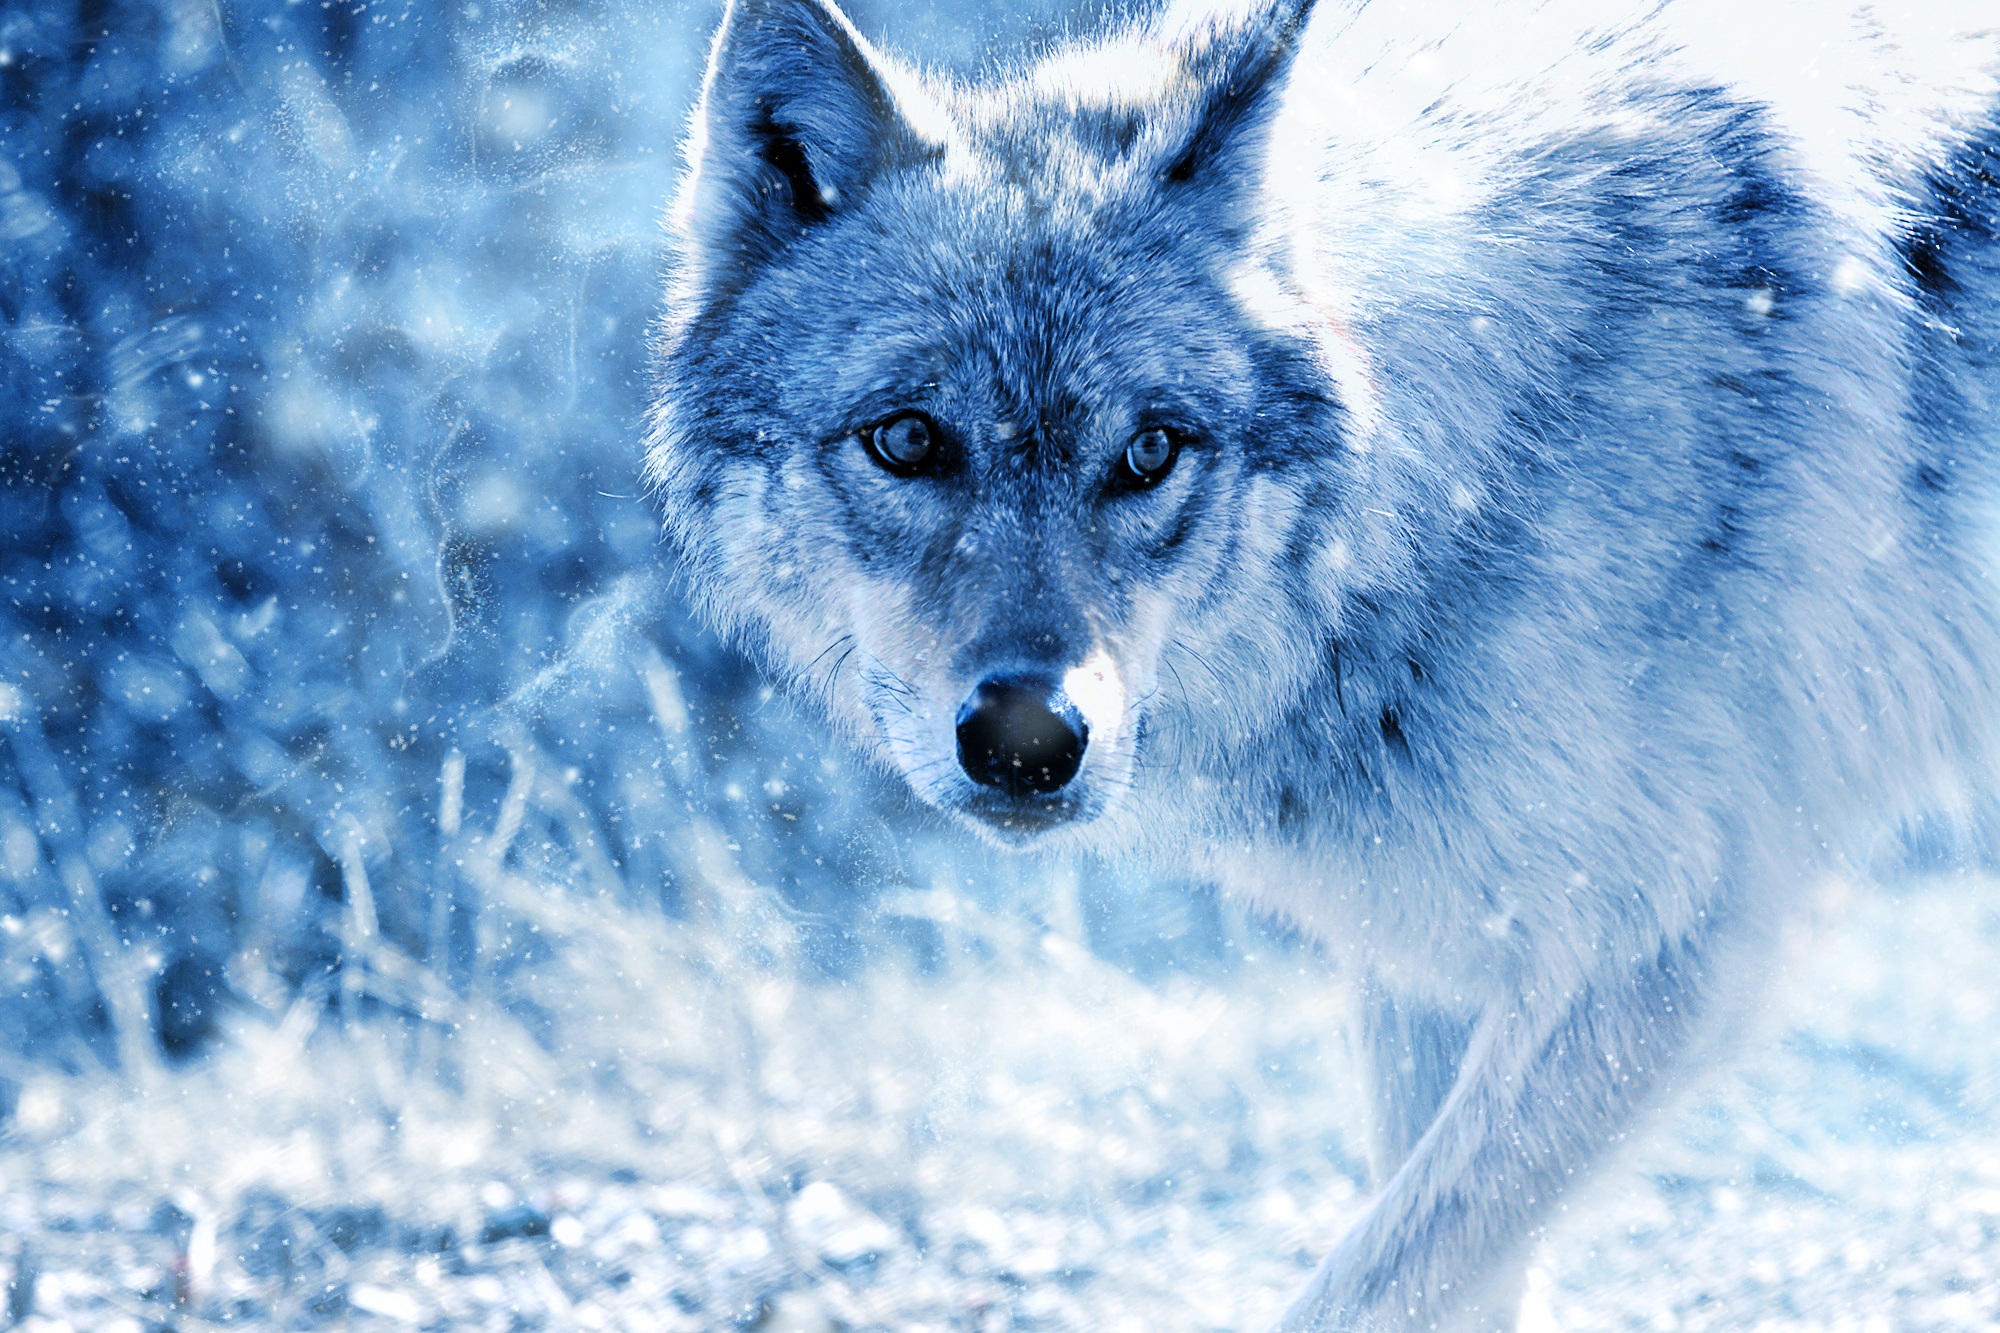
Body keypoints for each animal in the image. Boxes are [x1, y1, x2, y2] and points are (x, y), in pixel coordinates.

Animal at [645, 0, 2000, 1326]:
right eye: (907, 439)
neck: (1462, 477)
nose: (1029, 742)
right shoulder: (1439, 961)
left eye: (1149, 451)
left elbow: (1369, 1287)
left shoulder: (1653, 954)